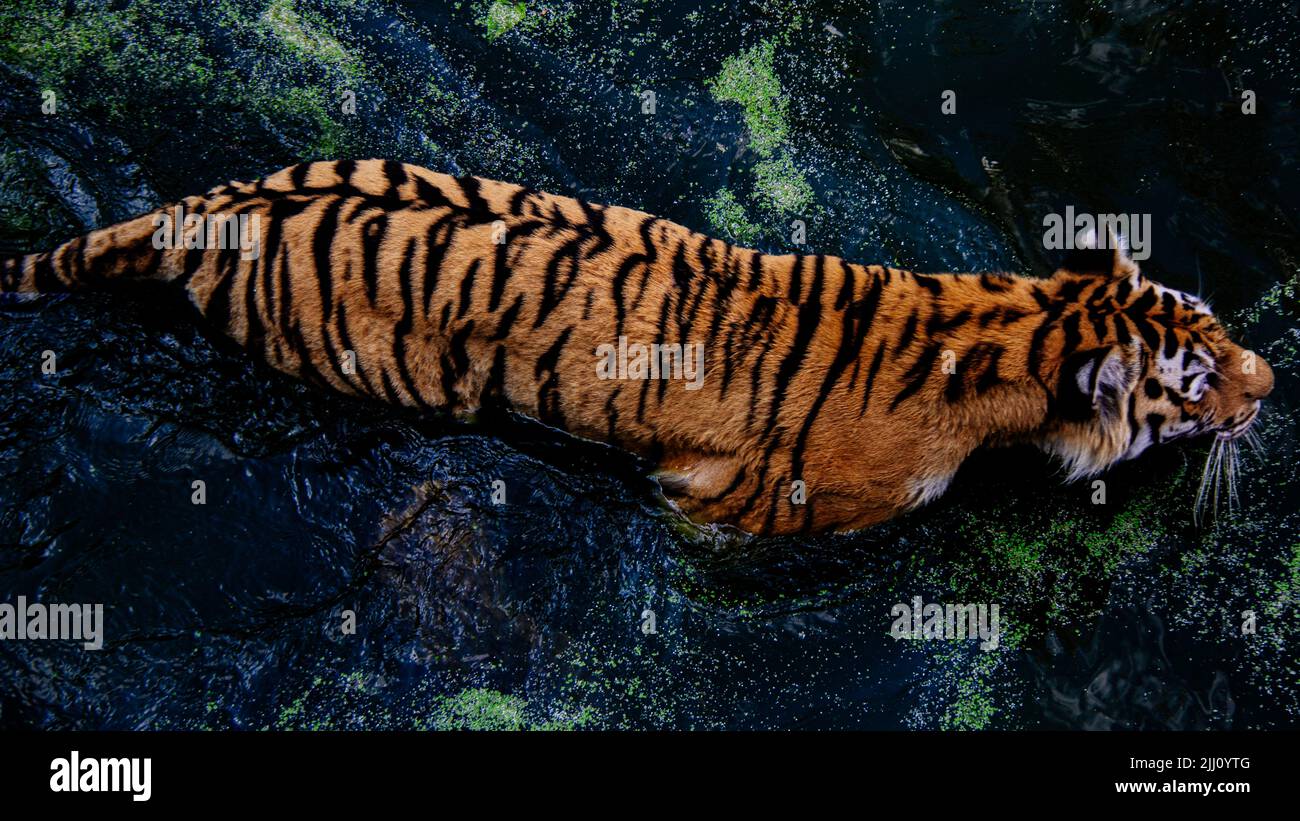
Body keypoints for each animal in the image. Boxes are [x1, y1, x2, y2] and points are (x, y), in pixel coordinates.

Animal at [0, 159, 1275, 535]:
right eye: (1197, 379)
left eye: (1215, 322)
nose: (1272, 384)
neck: (1012, 320)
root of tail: (219, 202)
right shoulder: (744, 506)